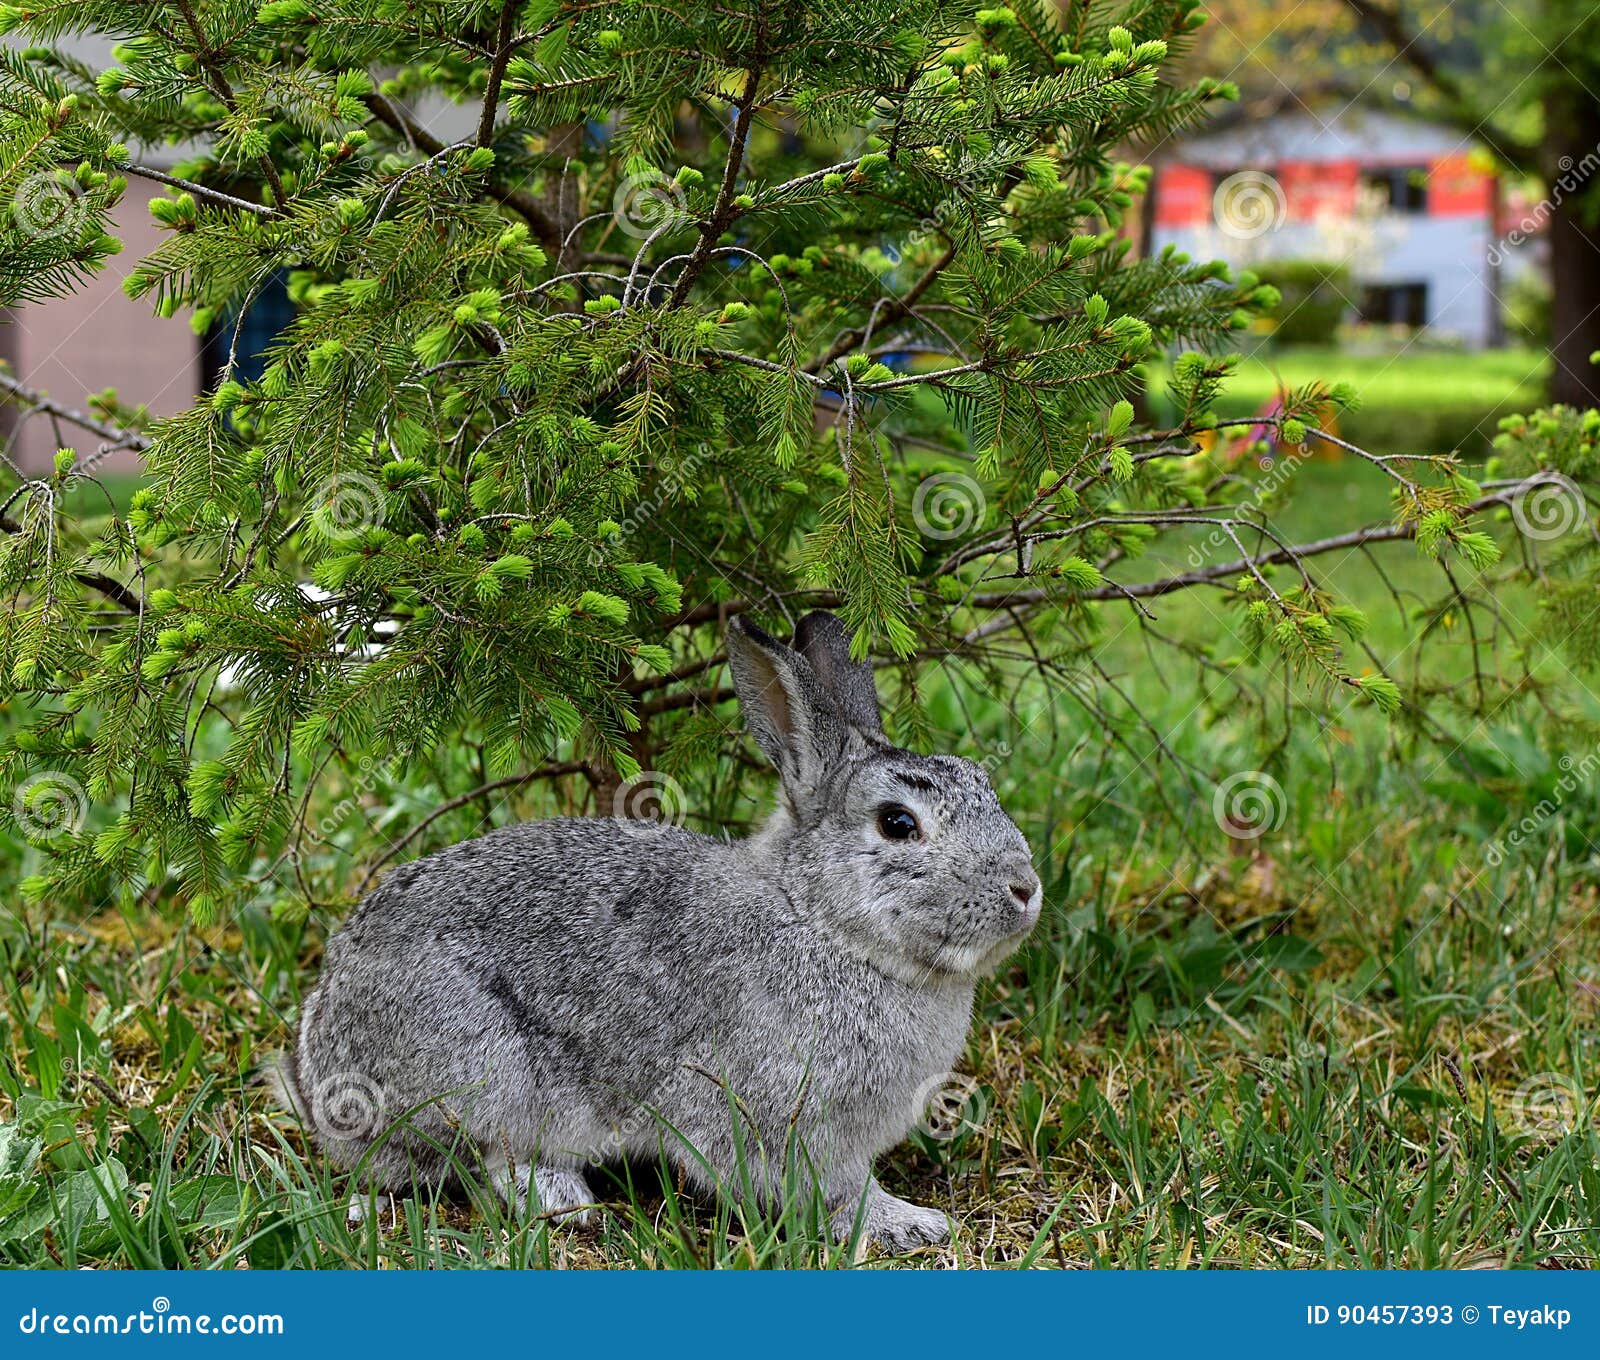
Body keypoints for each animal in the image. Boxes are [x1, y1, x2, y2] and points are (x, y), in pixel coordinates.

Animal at [277, 610, 1042, 1250]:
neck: (821, 920)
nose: (1026, 889)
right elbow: (828, 1188)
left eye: (984, 783)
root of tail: (320, 1073)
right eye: (898, 824)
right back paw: (570, 1203)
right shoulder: (773, 1117)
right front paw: (901, 1222)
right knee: (498, 1159)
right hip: (489, 1071)